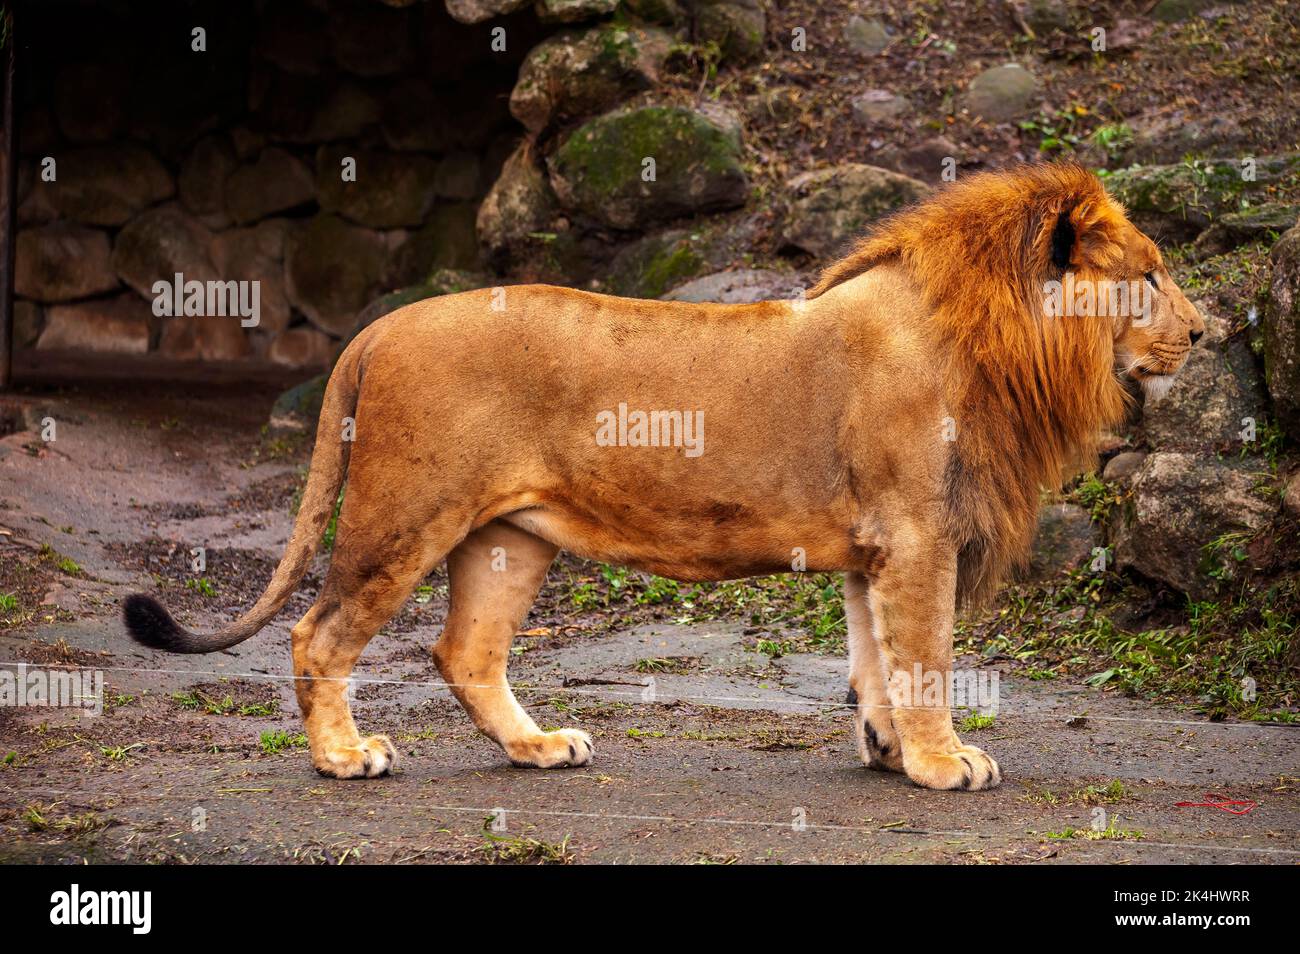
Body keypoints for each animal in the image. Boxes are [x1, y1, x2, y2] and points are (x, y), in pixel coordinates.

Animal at [124, 162, 1204, 790]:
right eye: (1149, 277)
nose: (1203, 333)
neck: (995, 340)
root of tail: (379, 326)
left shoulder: (876, 547)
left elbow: (874, 659)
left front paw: (891, 752)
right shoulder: (918, 533)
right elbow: (926, 658)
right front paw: (943, 764)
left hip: (508, 537)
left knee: (465, 652)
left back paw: (537, 748)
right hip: (406, 513)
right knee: (319, 632)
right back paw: (345, 758)